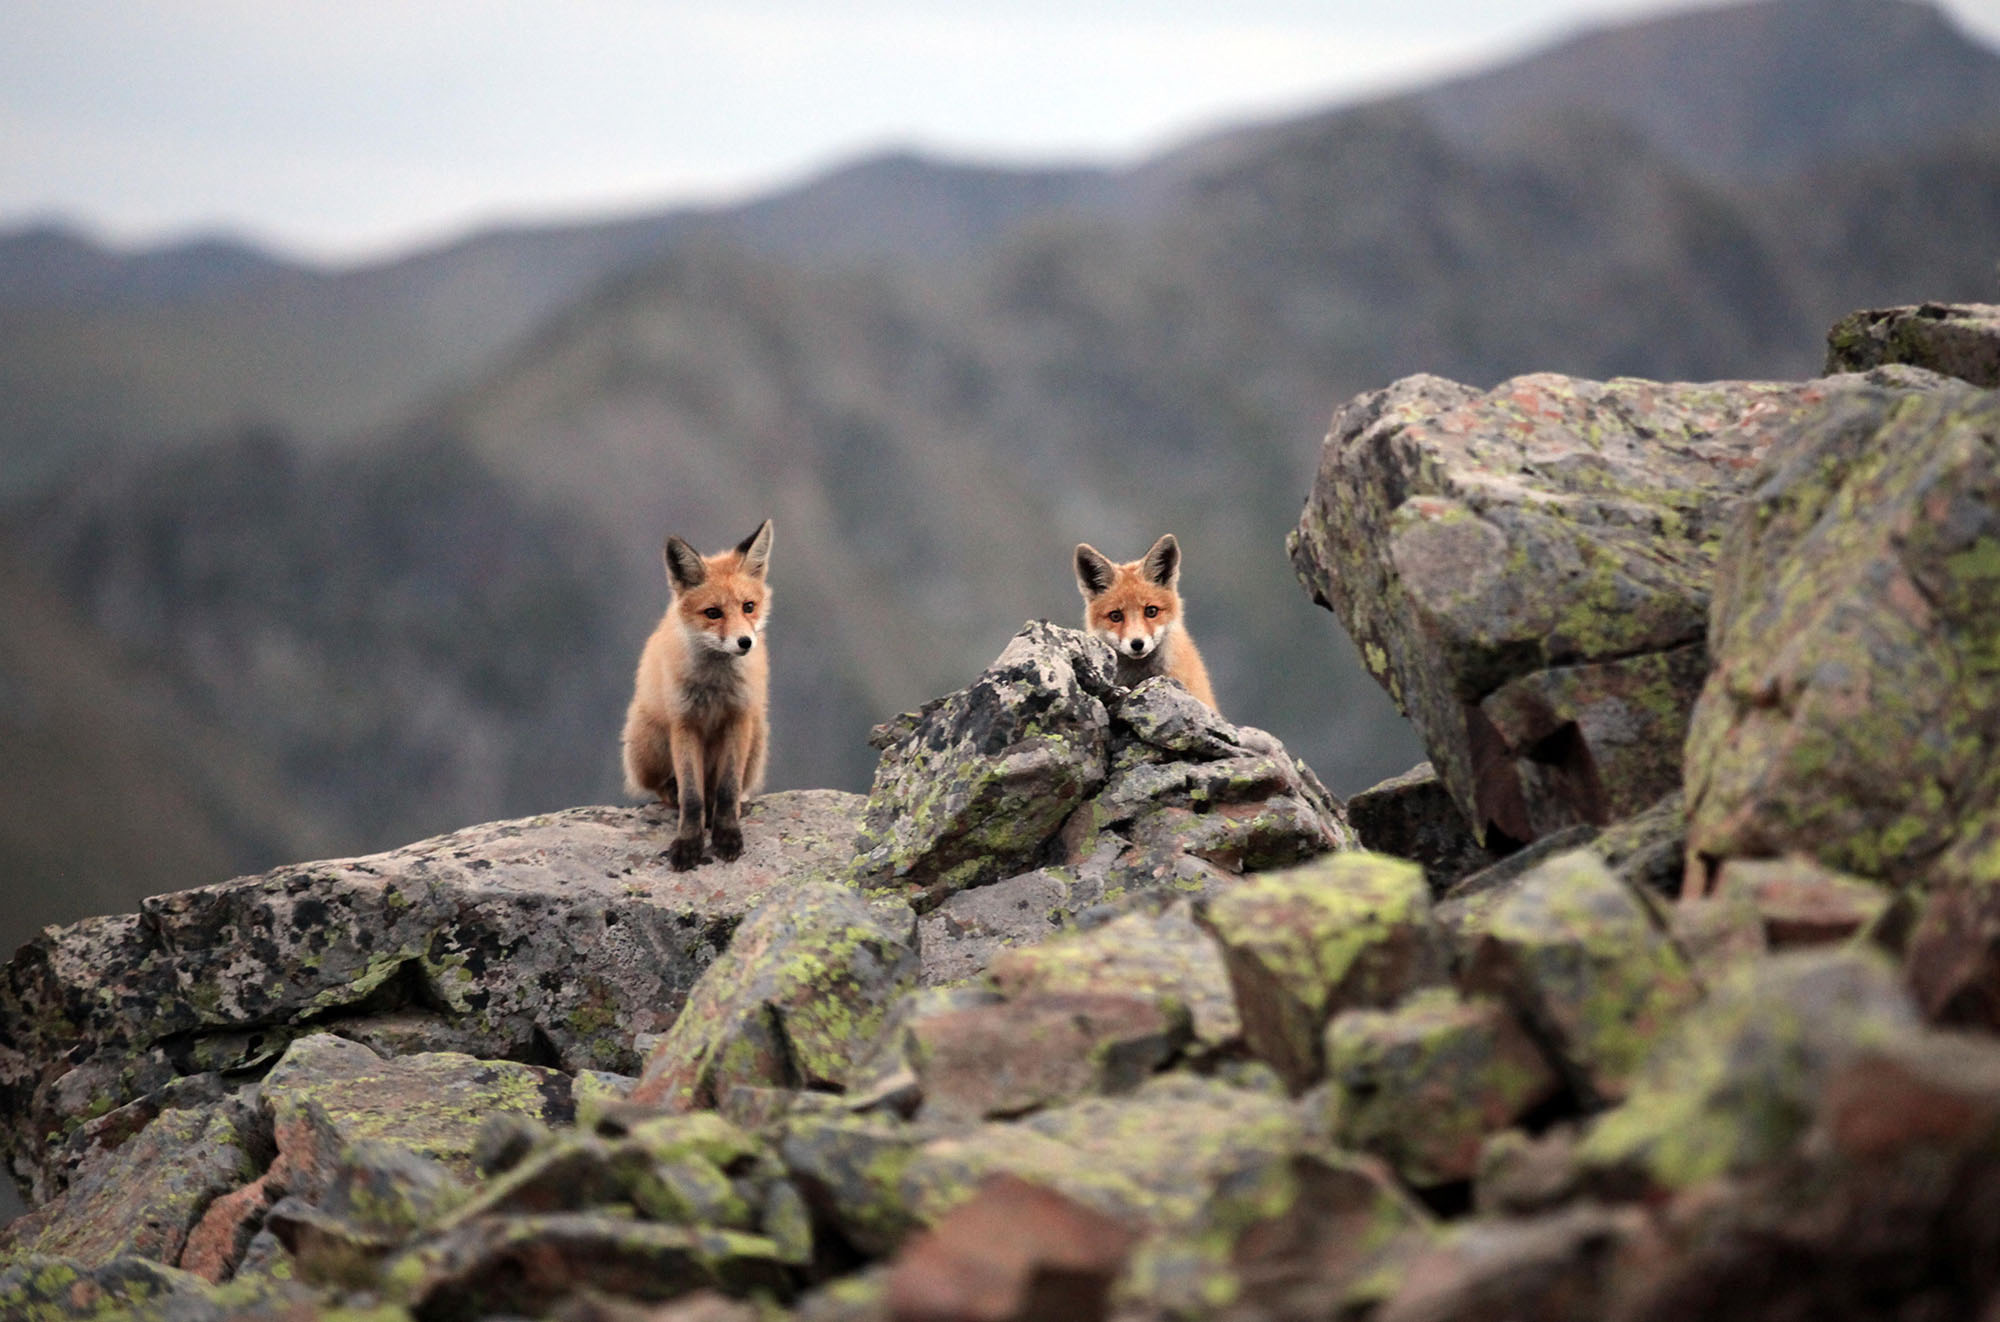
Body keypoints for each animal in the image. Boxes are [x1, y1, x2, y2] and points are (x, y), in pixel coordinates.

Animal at [622, 519, 774, 871]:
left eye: (748, 607)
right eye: (713, 613)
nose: (745, 642)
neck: (715, 685)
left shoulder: (739, 717)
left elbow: (728, 789)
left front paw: (726, 833)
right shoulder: (683, 723)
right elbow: (692, 798)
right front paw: (688, 843)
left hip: (758, 735)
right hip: (649, 737)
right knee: (664, 788)